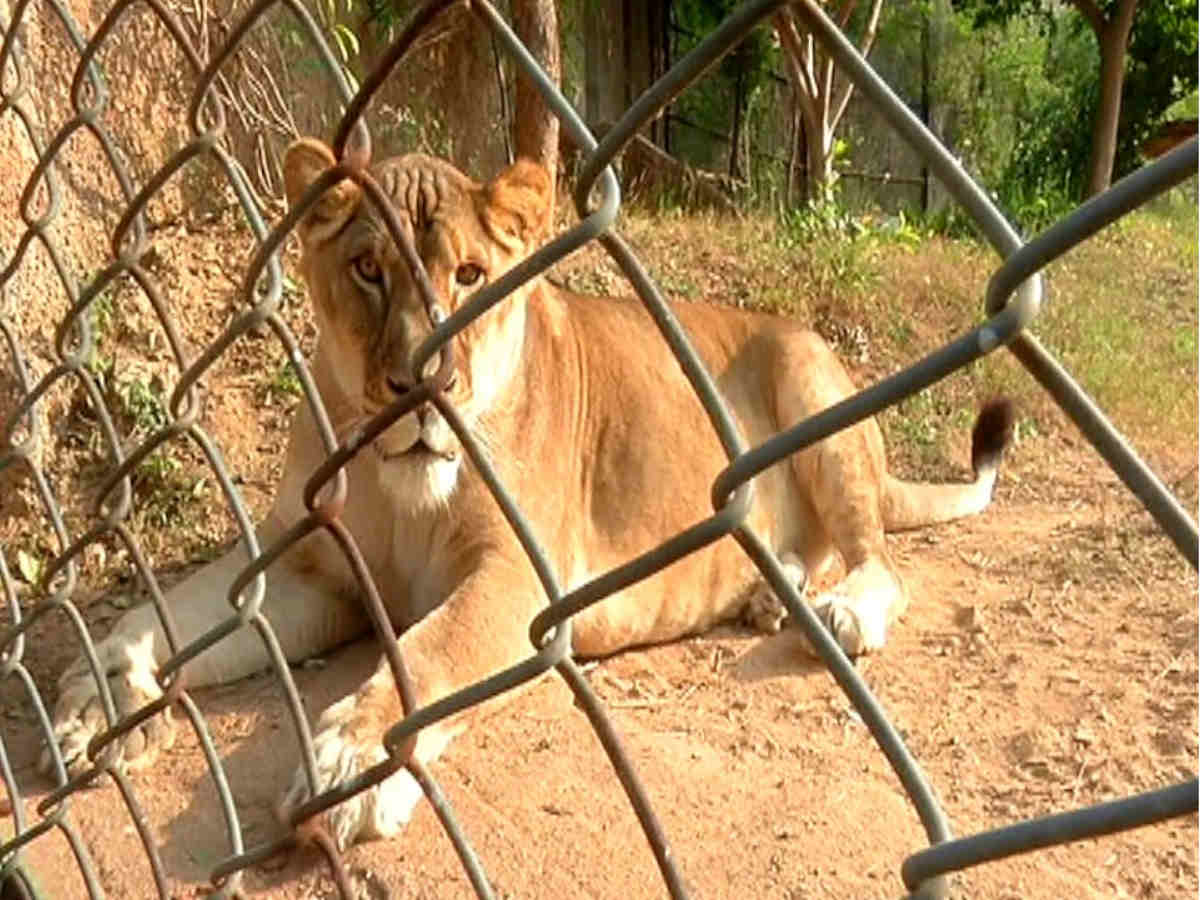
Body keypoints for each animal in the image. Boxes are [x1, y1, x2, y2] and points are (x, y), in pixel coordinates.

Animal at [42, 138, 1013, 852]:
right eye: (367, 270)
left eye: (472, 277)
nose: (420, 381)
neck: (395, 488)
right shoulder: (315, 574)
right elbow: (169, 613)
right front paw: (102, 696)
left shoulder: (521, 581)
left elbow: (431, 656)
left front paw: (351, 765)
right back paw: (772, 598)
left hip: (809, 384)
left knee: (878, 558)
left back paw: (838, 611)